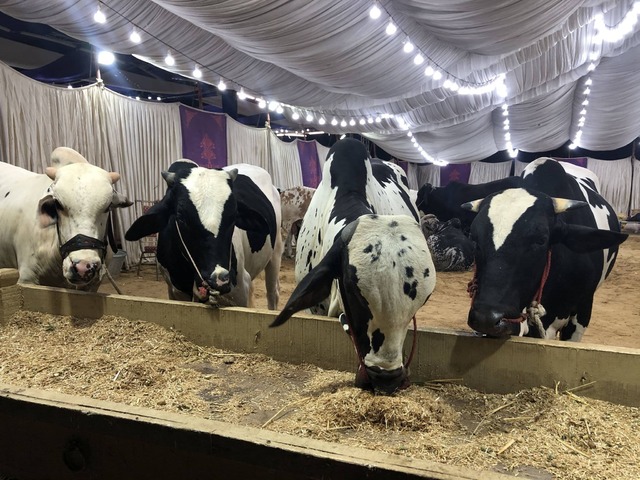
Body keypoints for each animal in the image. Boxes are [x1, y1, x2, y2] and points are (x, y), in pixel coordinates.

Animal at [125, 160, 283, 309]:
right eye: (180, 217)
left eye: (234, 216)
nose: (219, 279)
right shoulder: (176, 291)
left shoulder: (239, 290)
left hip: (275, 254)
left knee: (272, 294)